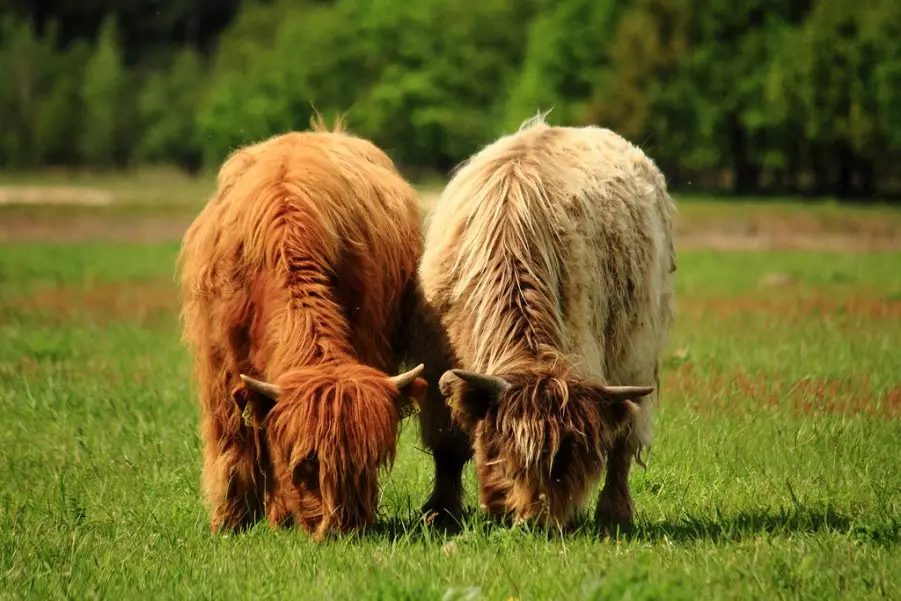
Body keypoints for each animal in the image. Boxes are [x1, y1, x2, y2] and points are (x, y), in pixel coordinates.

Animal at [180, 118, 428, 540]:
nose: (345, 529)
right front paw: (229, 522)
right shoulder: (220, 366)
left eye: (369, 460)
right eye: (306, 462)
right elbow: (233, 441)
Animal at [412, 115, 672, 528]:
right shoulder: (438, 361)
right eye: (509, 455)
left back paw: (614, 514)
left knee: (625, 438)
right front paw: (441, 512)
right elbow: (448, 448)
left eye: (568, 458)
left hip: (638, 349)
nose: (537, 521)